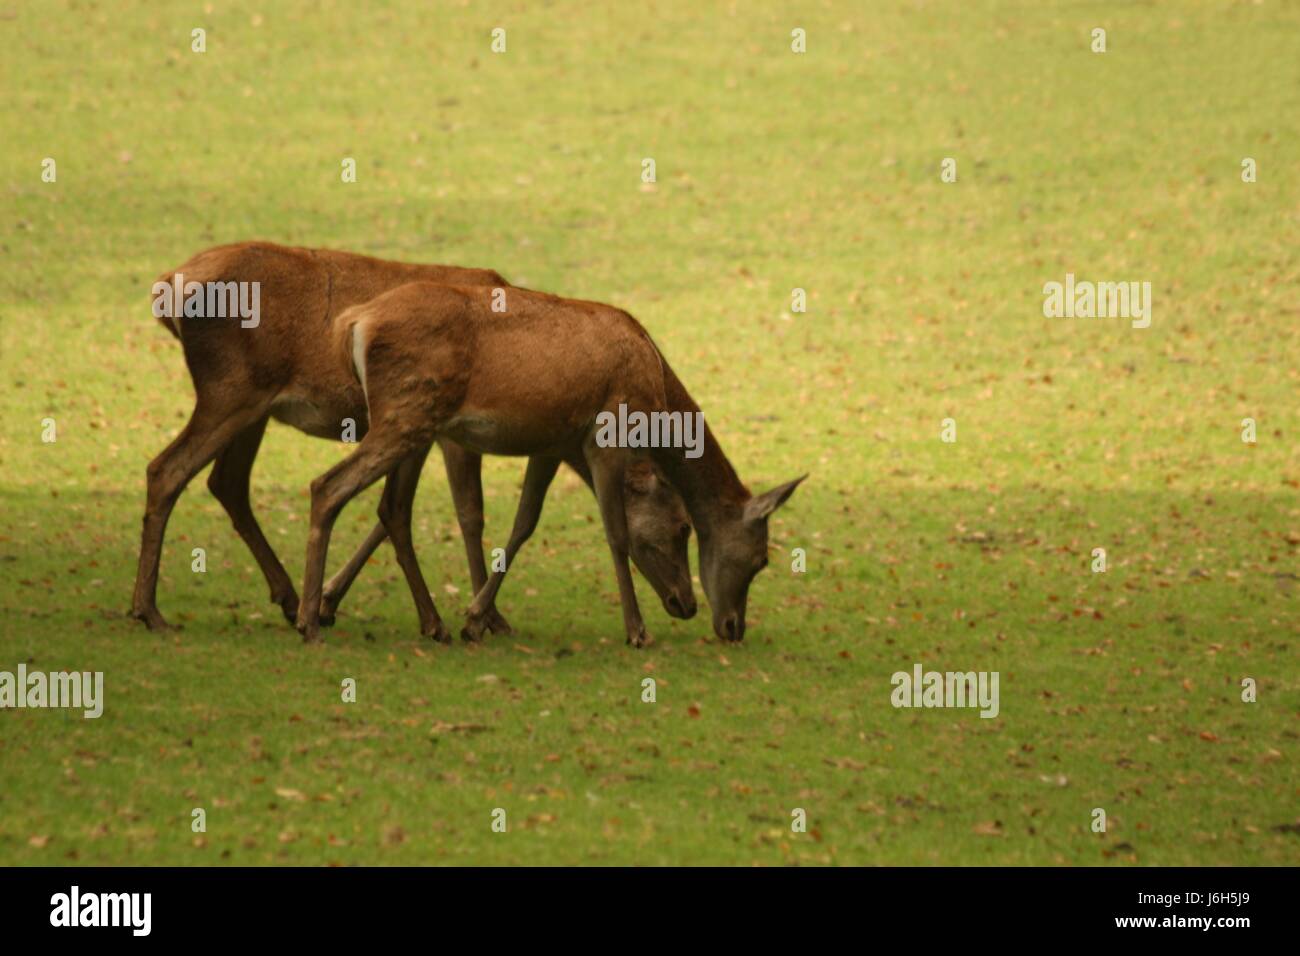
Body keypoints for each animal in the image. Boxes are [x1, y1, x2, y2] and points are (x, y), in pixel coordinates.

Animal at [131, 242, 697, 641]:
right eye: (685, 526)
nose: (691, 605)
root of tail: (166, 288)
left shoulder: (505, 439)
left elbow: (415, 516)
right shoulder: (492, 437)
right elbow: (475, 515)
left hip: (266, 410)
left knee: (226, 483)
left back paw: (294, 603)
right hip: (236, 393)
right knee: (173, 470)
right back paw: (158, 610)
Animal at [294, 280, 804, 646]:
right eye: (760, 559)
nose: (726, 623)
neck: (654, 383)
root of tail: (355, 321)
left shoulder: (553, 445)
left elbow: (524, 523)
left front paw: (475, 620)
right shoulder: (606, 433)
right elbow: (616, 533)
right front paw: (637, 630)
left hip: (415, 425)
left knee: (392, 510)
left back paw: (431, 623)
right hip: (407, 414)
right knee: (327, 486)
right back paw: (308, 621)